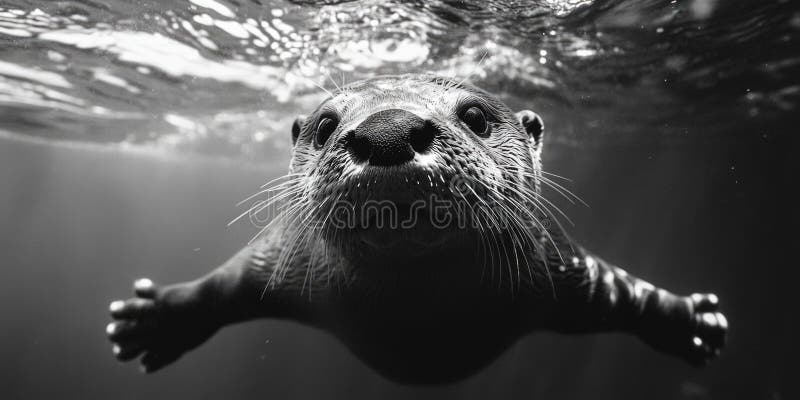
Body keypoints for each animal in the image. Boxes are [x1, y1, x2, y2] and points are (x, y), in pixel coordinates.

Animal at [105, 75, 727, 384]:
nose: (387, 130)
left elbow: (622, 294)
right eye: (325, 125)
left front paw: (689, 320)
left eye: (475, 117)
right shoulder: (288, 261)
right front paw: (154, 319)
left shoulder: (557, 268)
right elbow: (228, 284)